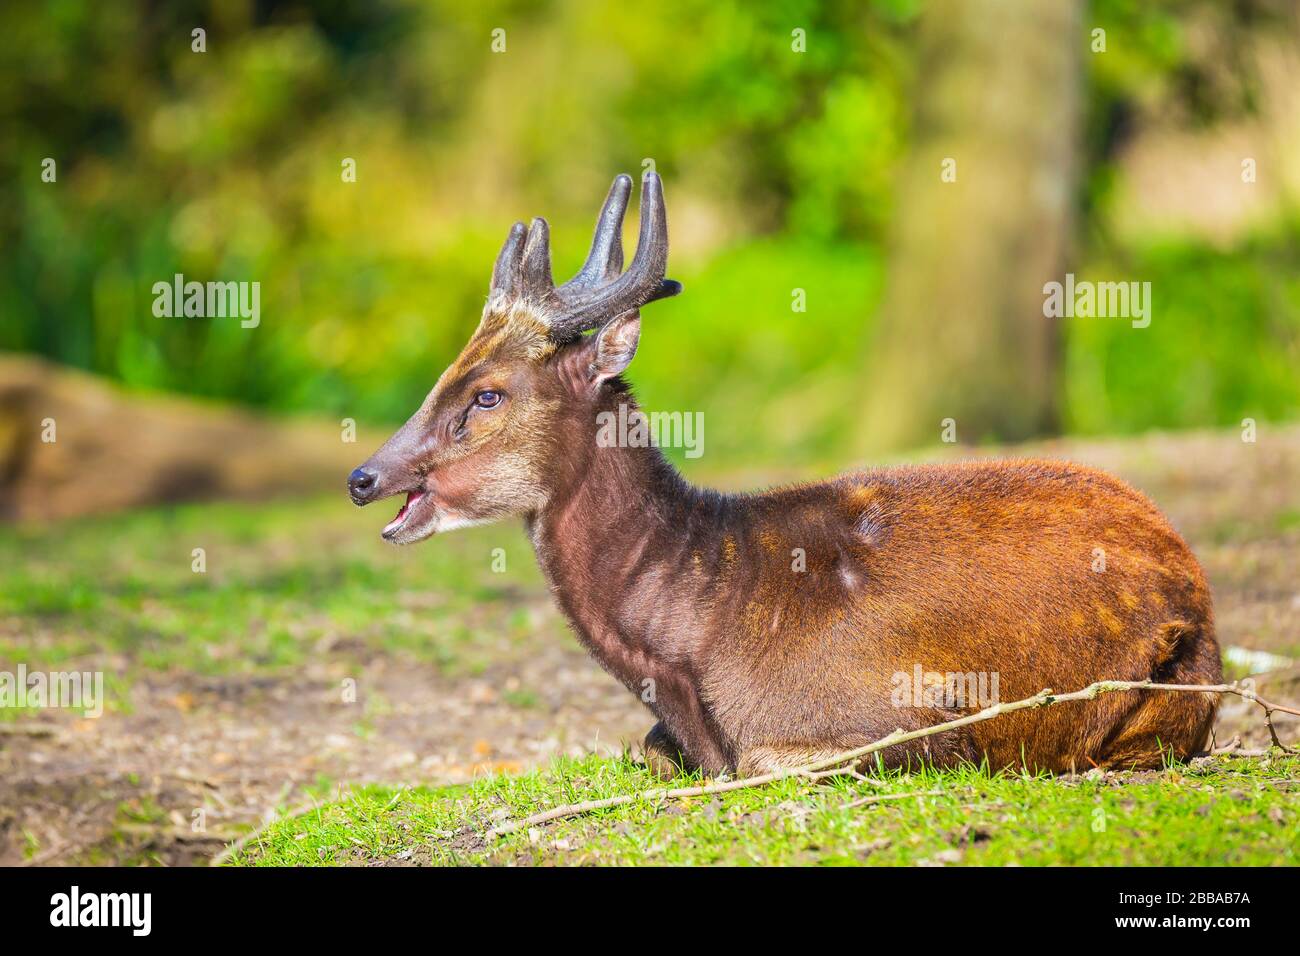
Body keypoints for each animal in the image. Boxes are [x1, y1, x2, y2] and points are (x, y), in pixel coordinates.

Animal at [348, 173, 1221, 779]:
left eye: (486, 393)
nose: (363, 476)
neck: (695, 639)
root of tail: (1199, 593)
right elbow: (651, 747)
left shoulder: (901, 716)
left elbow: (756, 760)